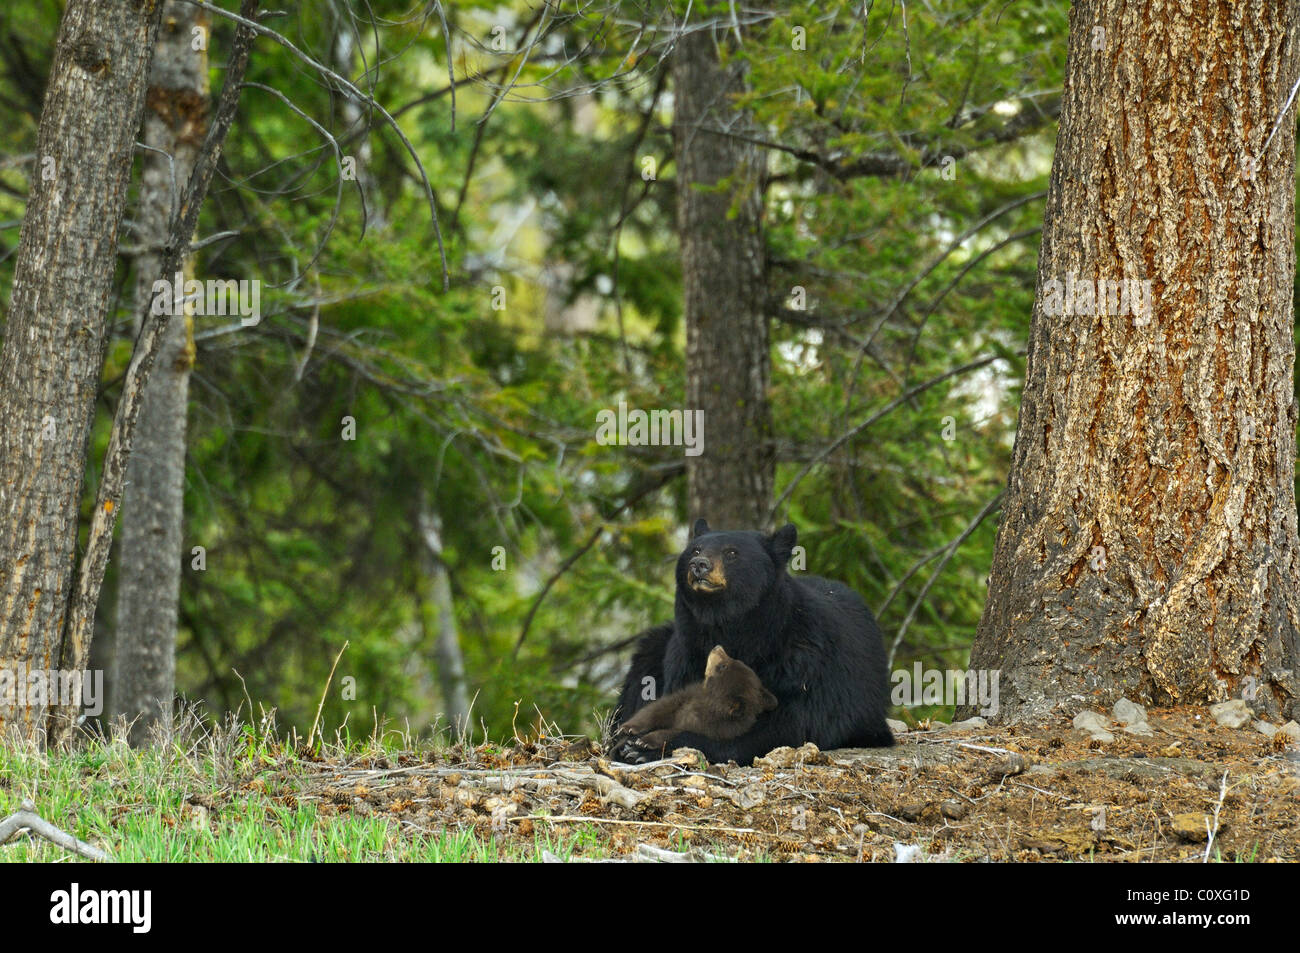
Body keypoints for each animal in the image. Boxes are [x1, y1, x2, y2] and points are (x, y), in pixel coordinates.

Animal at [611, 645, 778, 754]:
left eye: (723, 666)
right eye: (735, 660)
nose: (718, 647)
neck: (708, 701)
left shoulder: (716, 728)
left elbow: (675, 732)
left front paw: (645, 741)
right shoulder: (687, 695)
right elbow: (657, 709)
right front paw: (627, 728)